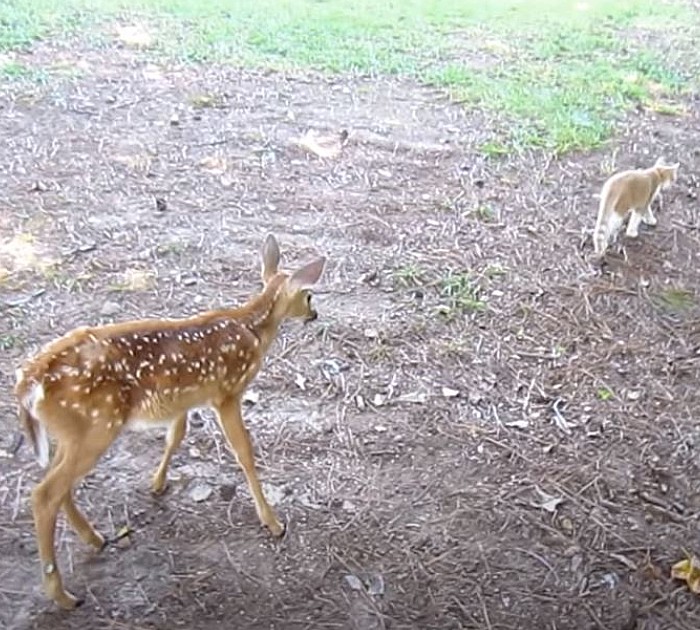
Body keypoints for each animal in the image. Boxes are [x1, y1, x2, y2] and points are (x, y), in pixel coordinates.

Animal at [13, 234, 327, 610]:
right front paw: (273, 522)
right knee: (45, 493)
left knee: (57, 484)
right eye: (308, 294)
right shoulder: (227, 393)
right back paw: (62, 594)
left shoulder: (184, 399)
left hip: (73, 431)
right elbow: (244, 452)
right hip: (98, 425)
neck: (251, 330)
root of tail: (29, 381)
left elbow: (176, 435)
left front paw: (158, 483)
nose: (314, 314)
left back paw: (95, 539)